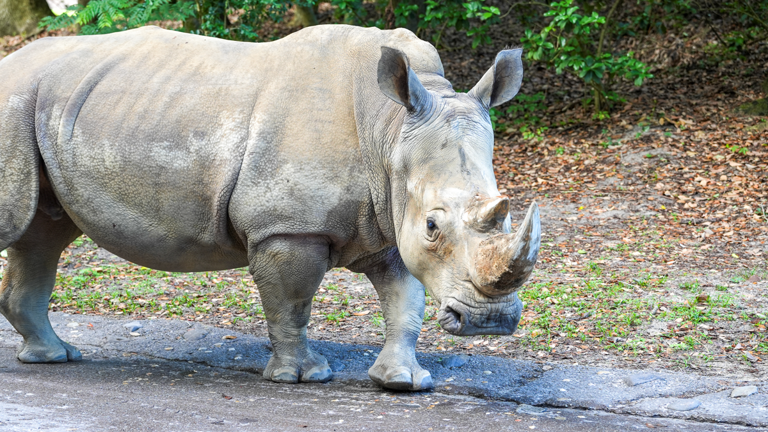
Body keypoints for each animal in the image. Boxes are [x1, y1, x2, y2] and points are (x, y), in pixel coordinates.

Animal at [0, 24, 540, 391]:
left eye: (510, 215)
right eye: (432, 225)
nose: (490, 322)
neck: (389, 128)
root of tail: (13, 59)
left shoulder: (388, 217)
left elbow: (405, 300)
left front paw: (403, 381)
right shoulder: (288, 228)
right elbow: (293, 301)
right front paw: (303, 377)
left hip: (55, 108)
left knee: (43, 235)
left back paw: (54, 357)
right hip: (14, 103)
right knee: (24, 229)